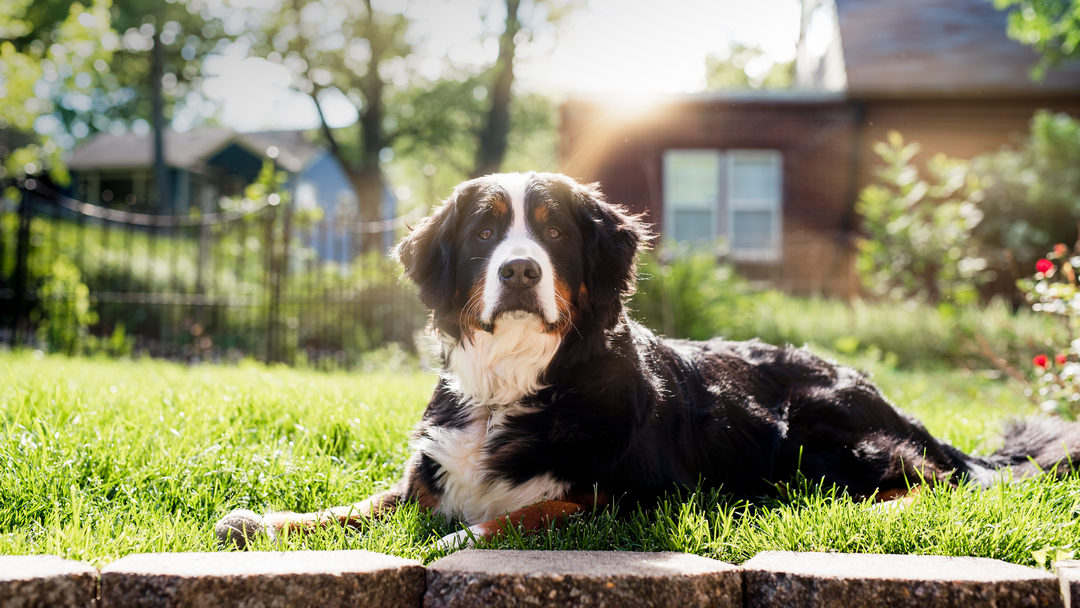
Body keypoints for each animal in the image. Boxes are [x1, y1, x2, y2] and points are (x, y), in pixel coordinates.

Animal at [214, 170, 1080, 552]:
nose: (520, 270)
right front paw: (265, 520)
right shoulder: (428, 470)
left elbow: (527, 512)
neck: (522, 381)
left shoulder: (635, 495)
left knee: (928, 483)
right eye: (487, 231)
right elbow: (360, 505)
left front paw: (460, 538)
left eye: (554, 231)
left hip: (821, 420)